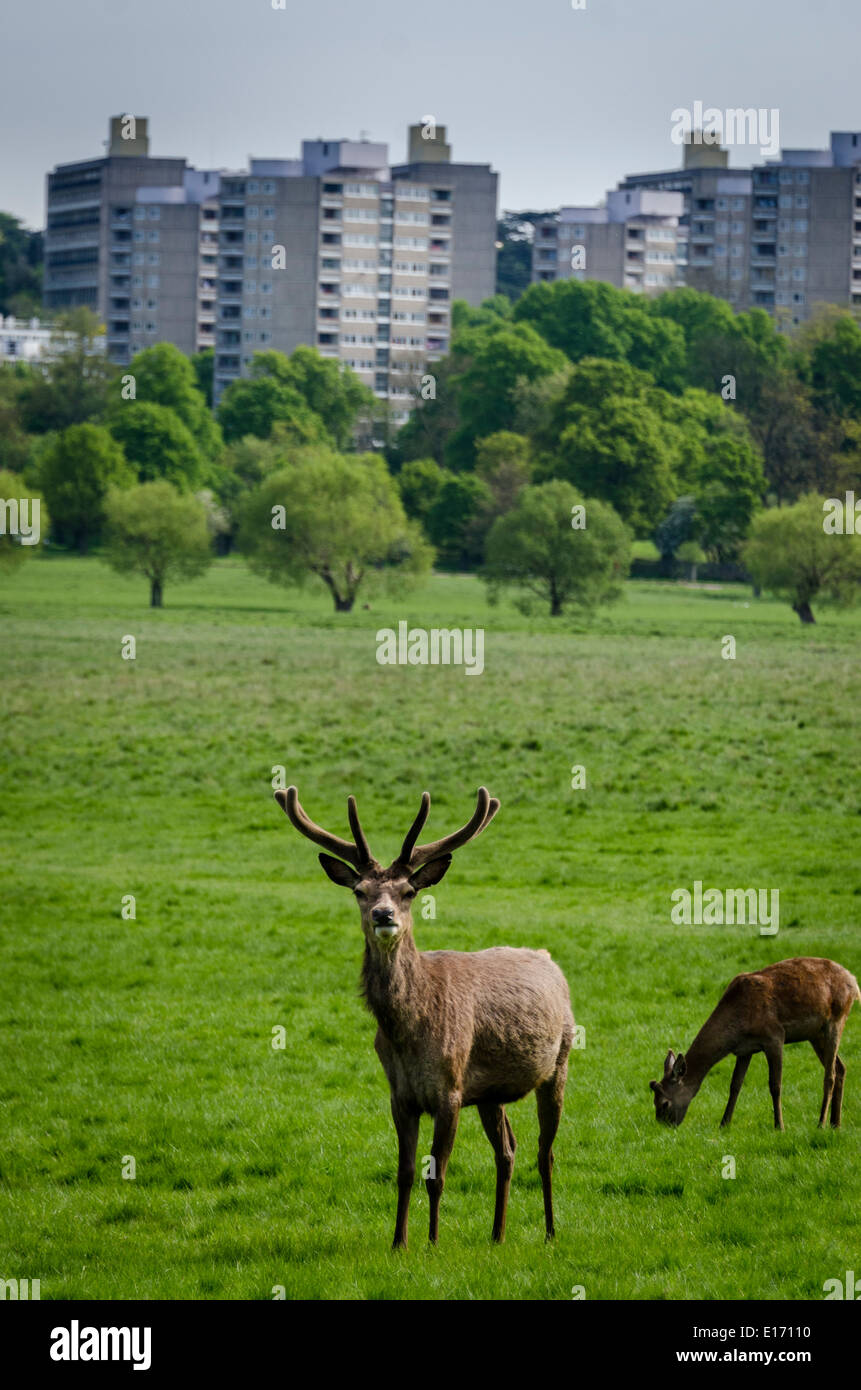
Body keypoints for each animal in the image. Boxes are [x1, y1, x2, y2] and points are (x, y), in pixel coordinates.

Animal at [275, 784, 575, 1250]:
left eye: (408, 892)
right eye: (359, 890)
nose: (383, 915)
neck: (408, 1032)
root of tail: (549, 960)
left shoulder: (449, 1091)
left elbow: (437, 1175)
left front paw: (432, 1243)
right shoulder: (400, 1096)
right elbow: (405, 1172)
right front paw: (398, 1243)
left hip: (558, 1063)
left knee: (546, 1152)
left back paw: (549, 1231)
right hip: (490, 1093)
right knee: (507, 1150)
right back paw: (497, 1234)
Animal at [650, 957, 860, 1131]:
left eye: (665, 1103)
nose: (665, 1127)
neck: (739, 1026)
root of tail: (853, 982)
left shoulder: (775, 1037)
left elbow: (775, 1085)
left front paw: (779, 1126)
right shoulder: (744, 1050)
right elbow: (735, 1085)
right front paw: (724, 1124)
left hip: (836, 1019)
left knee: (830, 1074)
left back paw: (821, 1123)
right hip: (815, 1034)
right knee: (841, 1067)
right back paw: (835, 1123)